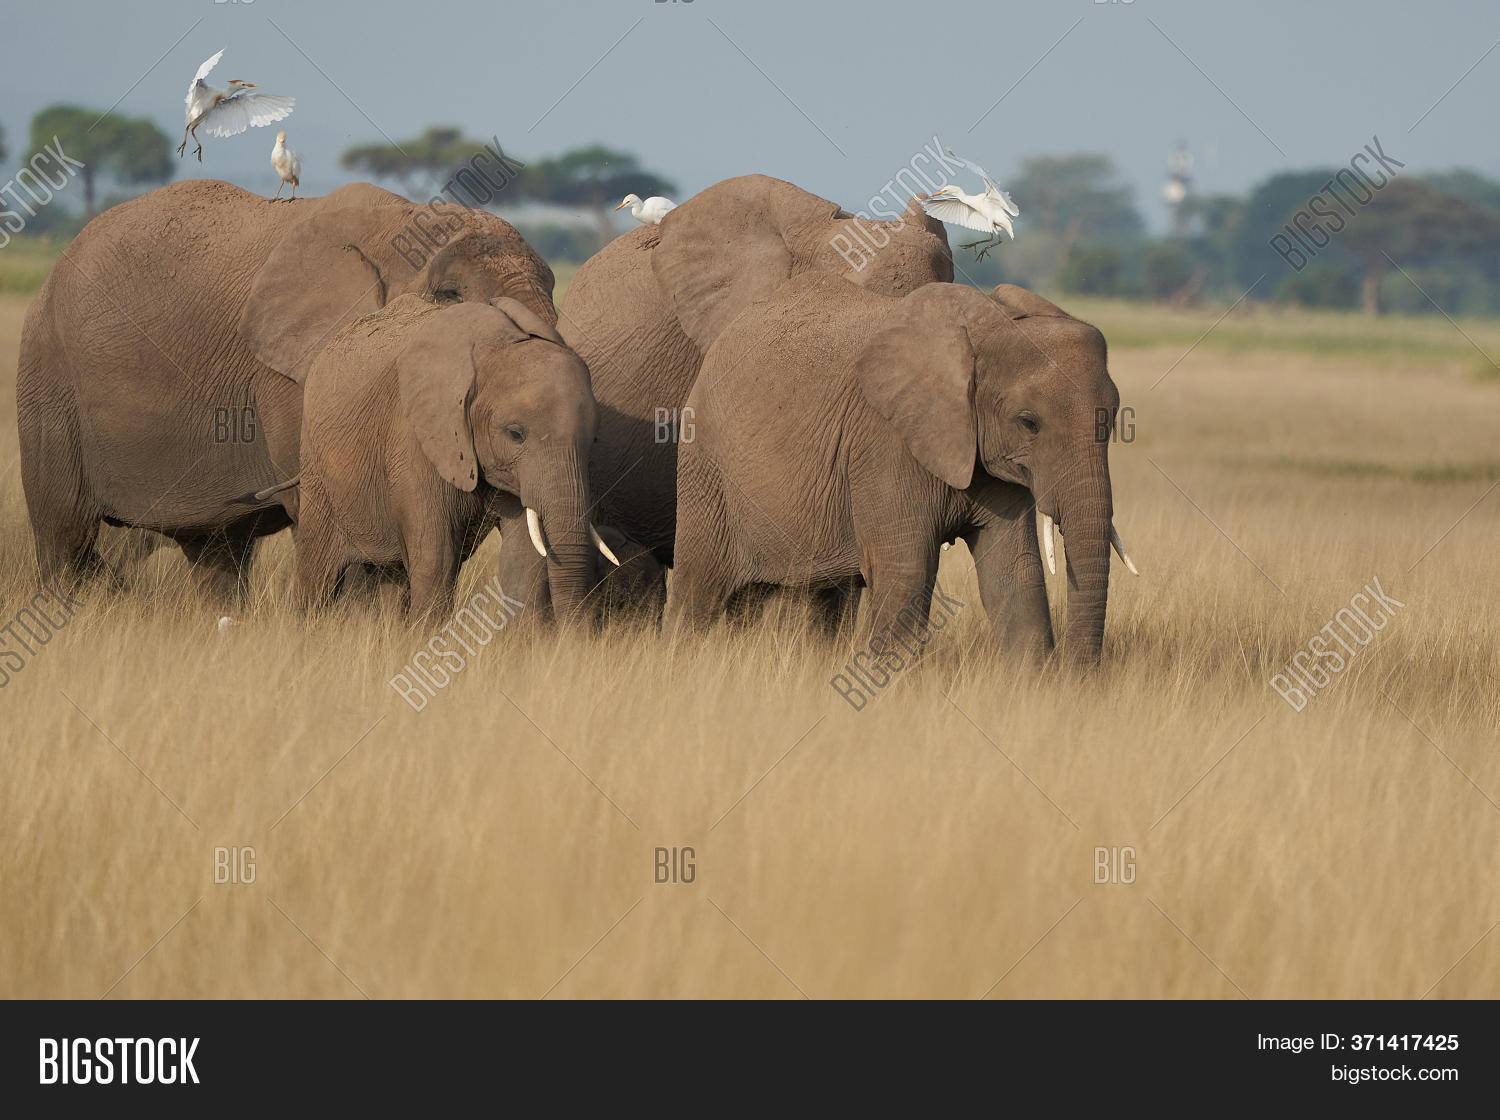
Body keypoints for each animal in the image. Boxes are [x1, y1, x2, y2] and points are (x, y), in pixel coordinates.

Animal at [17, 179, 557, 604]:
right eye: (449, 295)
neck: (398, 224)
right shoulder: (289, 379)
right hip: (48, 380)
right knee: (65, 536)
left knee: (215, 551)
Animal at [291, 294, 613, 622]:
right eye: (515, 434)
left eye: (594, 440)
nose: (575, 631)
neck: (491, 349)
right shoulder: (415, 438)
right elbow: (436, 559)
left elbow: (523, 558)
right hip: (316, 470)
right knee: (316, 574)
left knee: (392, 578)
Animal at [666, 278, 1137, 662]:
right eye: (1029, 422)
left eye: (1114, 418)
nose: (1077, 675)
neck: (984, 328)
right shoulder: (883, 444)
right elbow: (907, 574)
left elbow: (1014, 572)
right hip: (706, 467)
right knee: (698, 592)